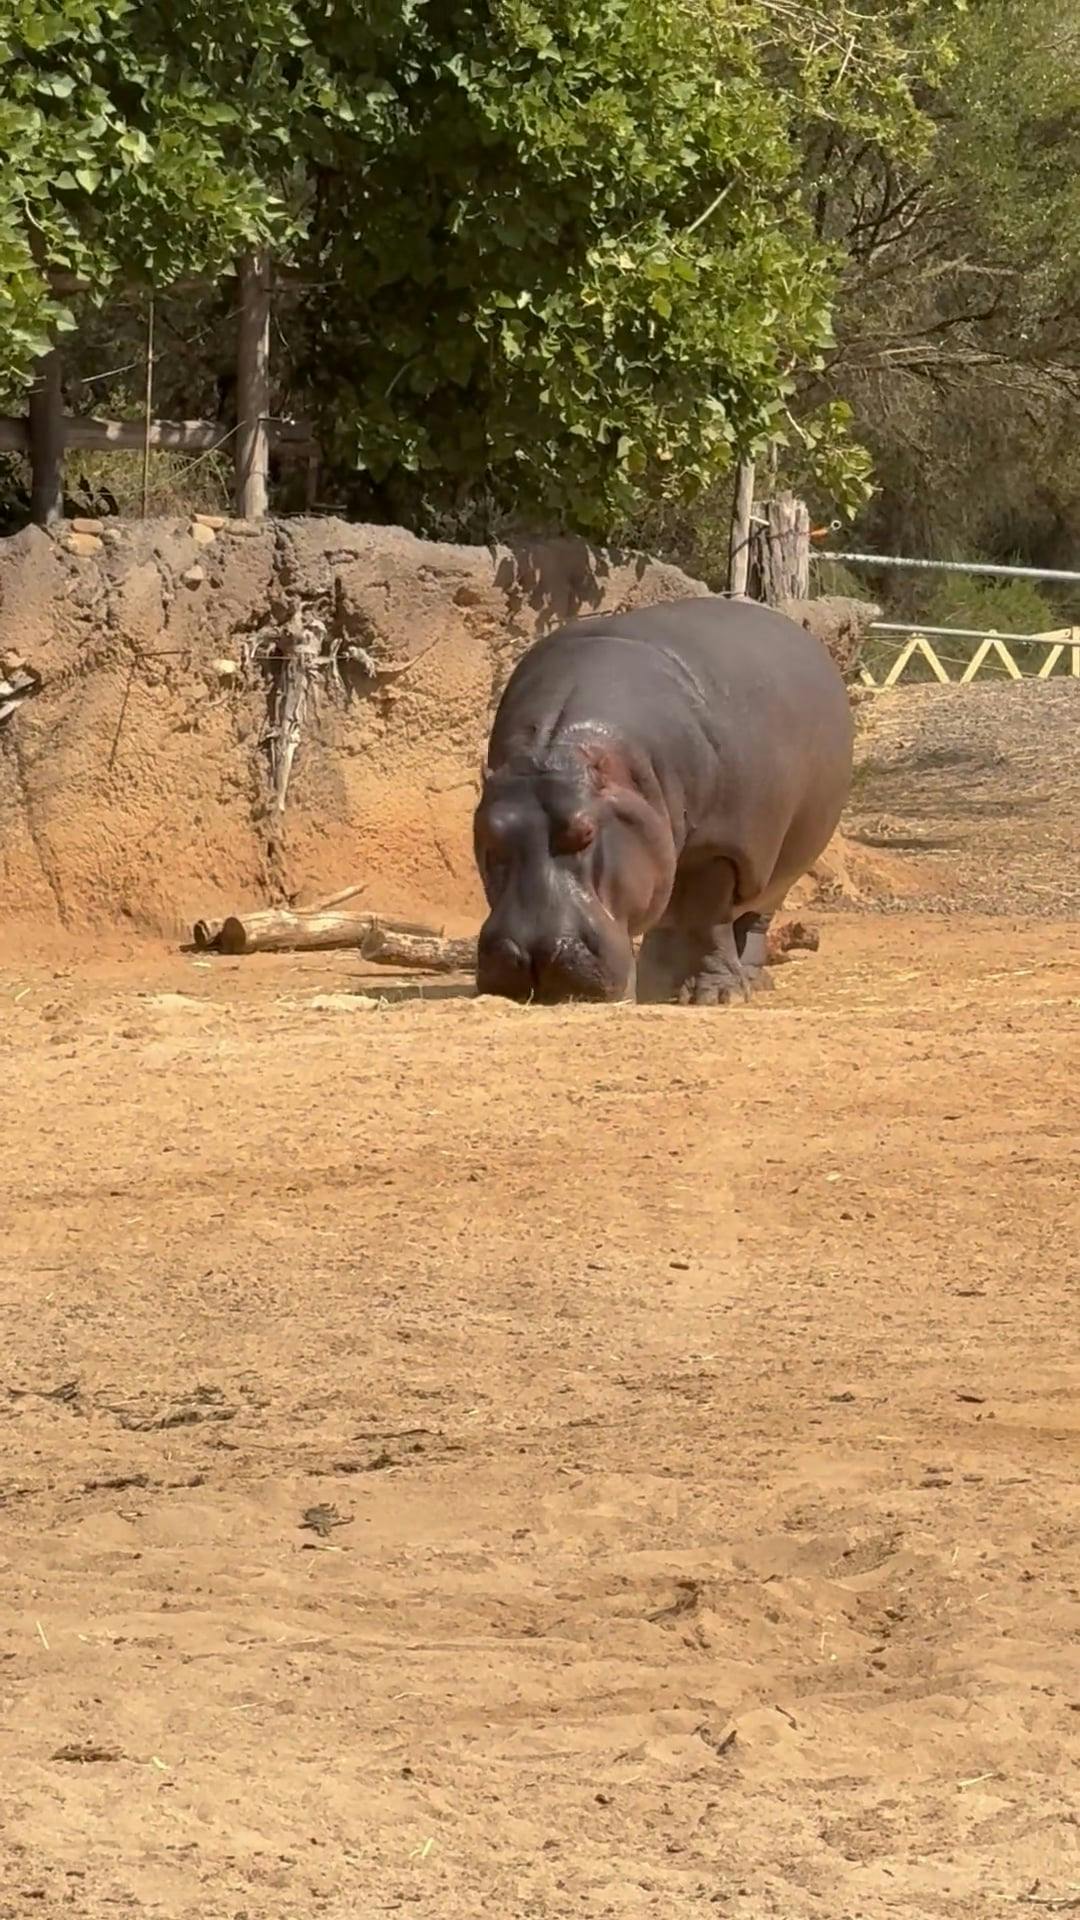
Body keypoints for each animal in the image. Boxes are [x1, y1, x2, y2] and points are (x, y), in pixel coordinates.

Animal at [473, 595, 853, 1005]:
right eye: (489, 835)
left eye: (586, 833)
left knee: (751, 920)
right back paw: (660, 983)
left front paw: (718, 996)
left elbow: (706, 920)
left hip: (781, 866)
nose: (530, 956)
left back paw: (748, 981)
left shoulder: (717, 848)